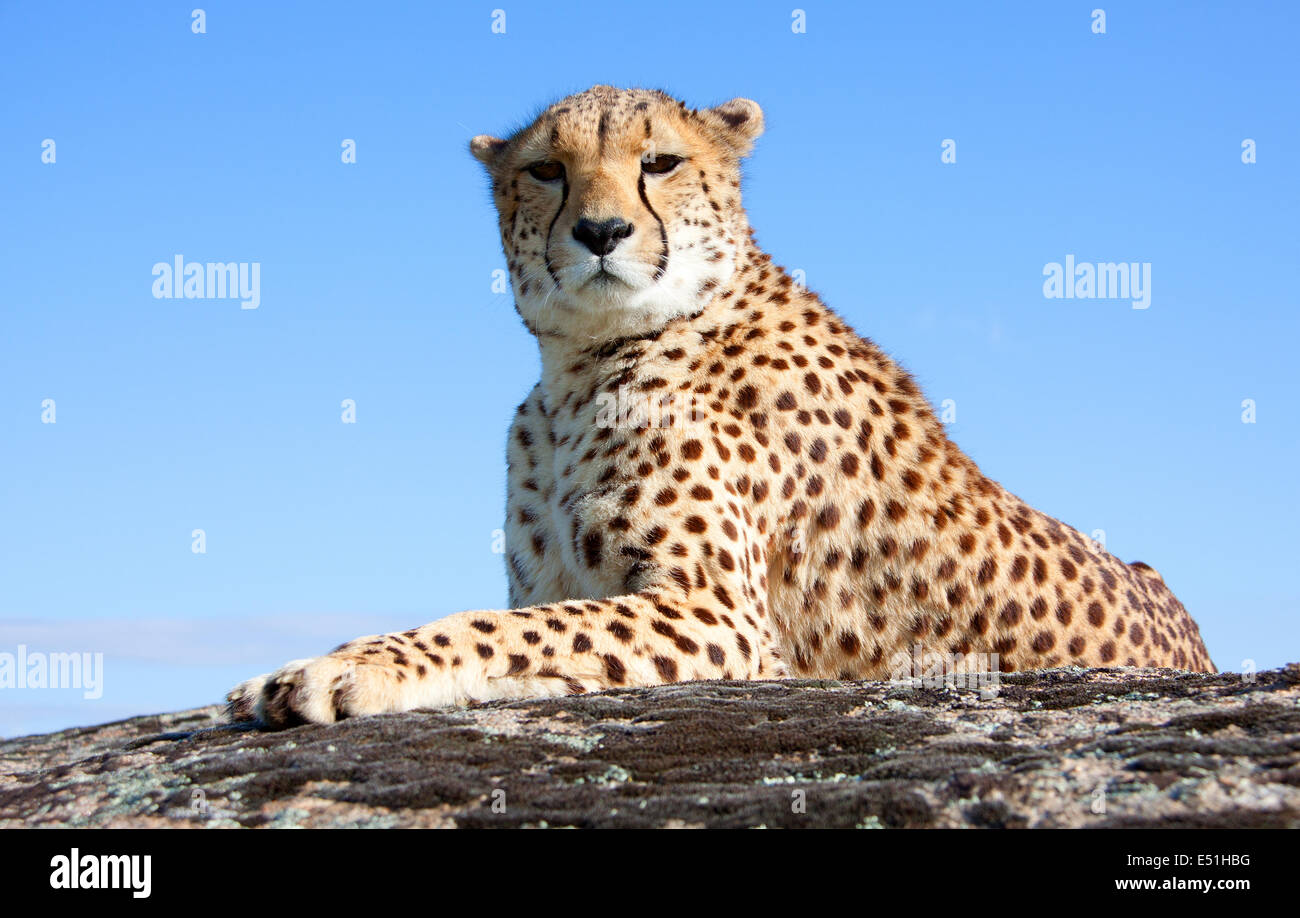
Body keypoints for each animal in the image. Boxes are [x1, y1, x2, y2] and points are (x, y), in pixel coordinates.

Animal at [228, 85, 1213, 729]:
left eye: (659, 163)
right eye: (546, 171)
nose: (600, 232)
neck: (577, 369)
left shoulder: (721, 617)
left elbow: (496, 631)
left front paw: (341, 667)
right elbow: (525, 627)